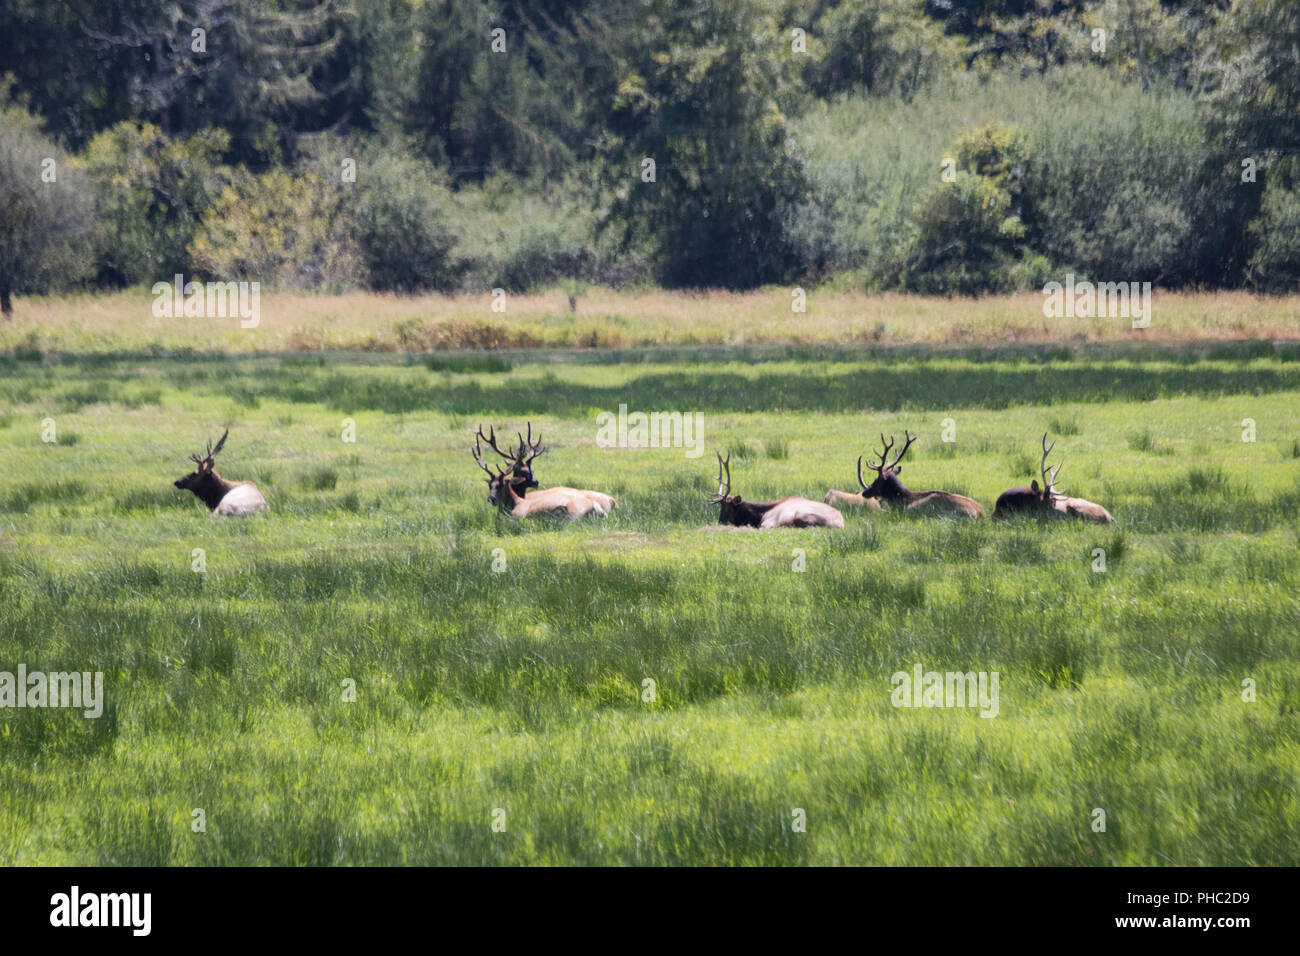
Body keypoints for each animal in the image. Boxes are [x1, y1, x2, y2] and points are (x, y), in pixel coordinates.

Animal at [710, 451, 845, 528]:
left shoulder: (766, 523)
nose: (720, 523)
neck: (759, 515)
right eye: (721, 506)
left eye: (728, 507)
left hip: (802, 515)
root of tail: (841, 523)